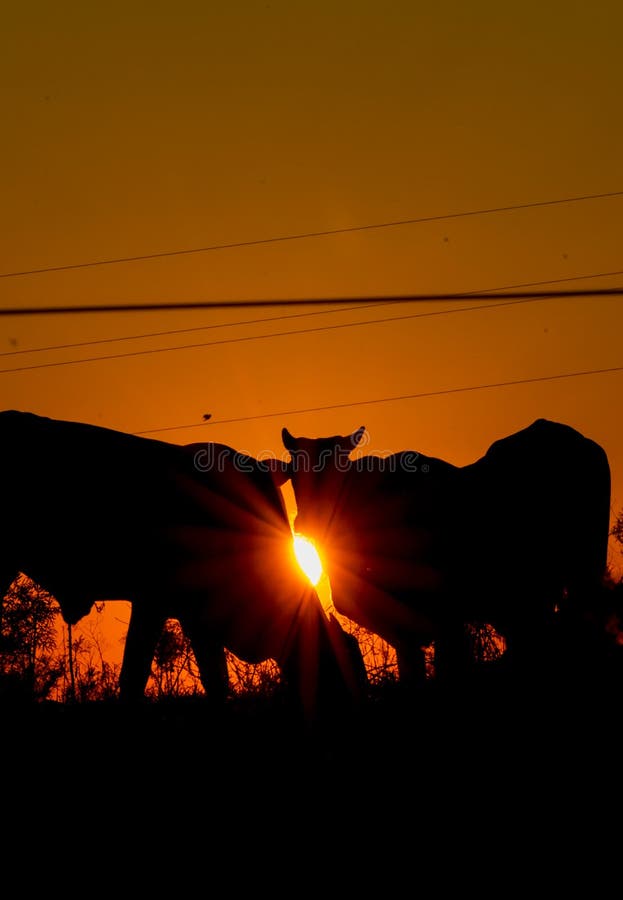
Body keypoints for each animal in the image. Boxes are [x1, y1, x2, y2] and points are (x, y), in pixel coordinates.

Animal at [279, 419, 612, 686]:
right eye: (295, 472)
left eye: (337, 468)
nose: (307, 521)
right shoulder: (402, 629)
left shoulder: (446, 616)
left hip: (584, 571)